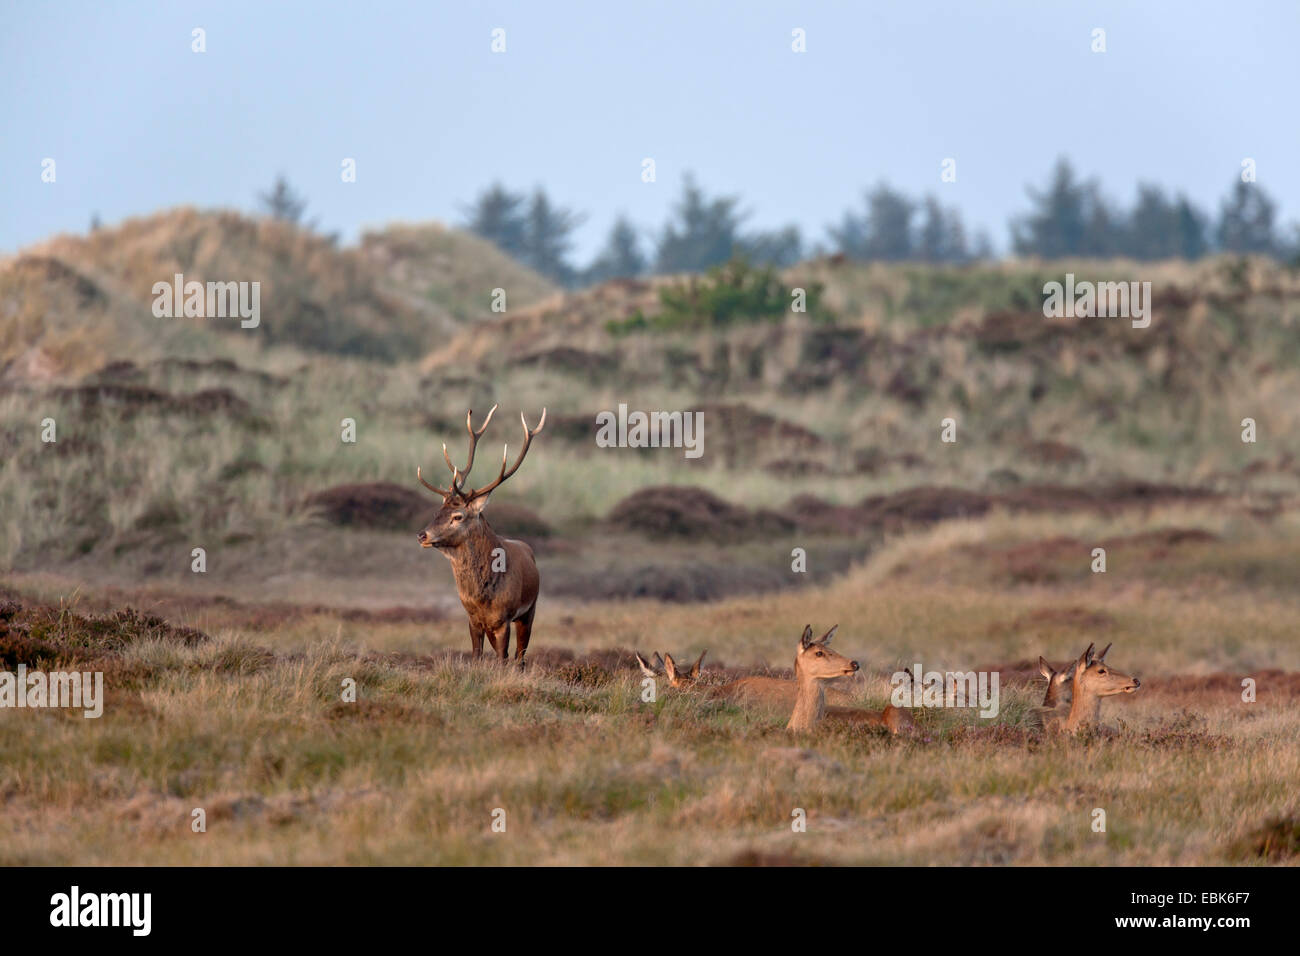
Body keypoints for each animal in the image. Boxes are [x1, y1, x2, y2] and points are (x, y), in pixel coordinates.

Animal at [416, 405, 546, 665]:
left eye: (458, 516)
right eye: (437, 511)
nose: (422, 535)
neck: (481, 597)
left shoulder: (504, 618)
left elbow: (502, 659)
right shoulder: (473, 619)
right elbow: (476, 656)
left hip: (529, 611)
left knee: (520, 657)